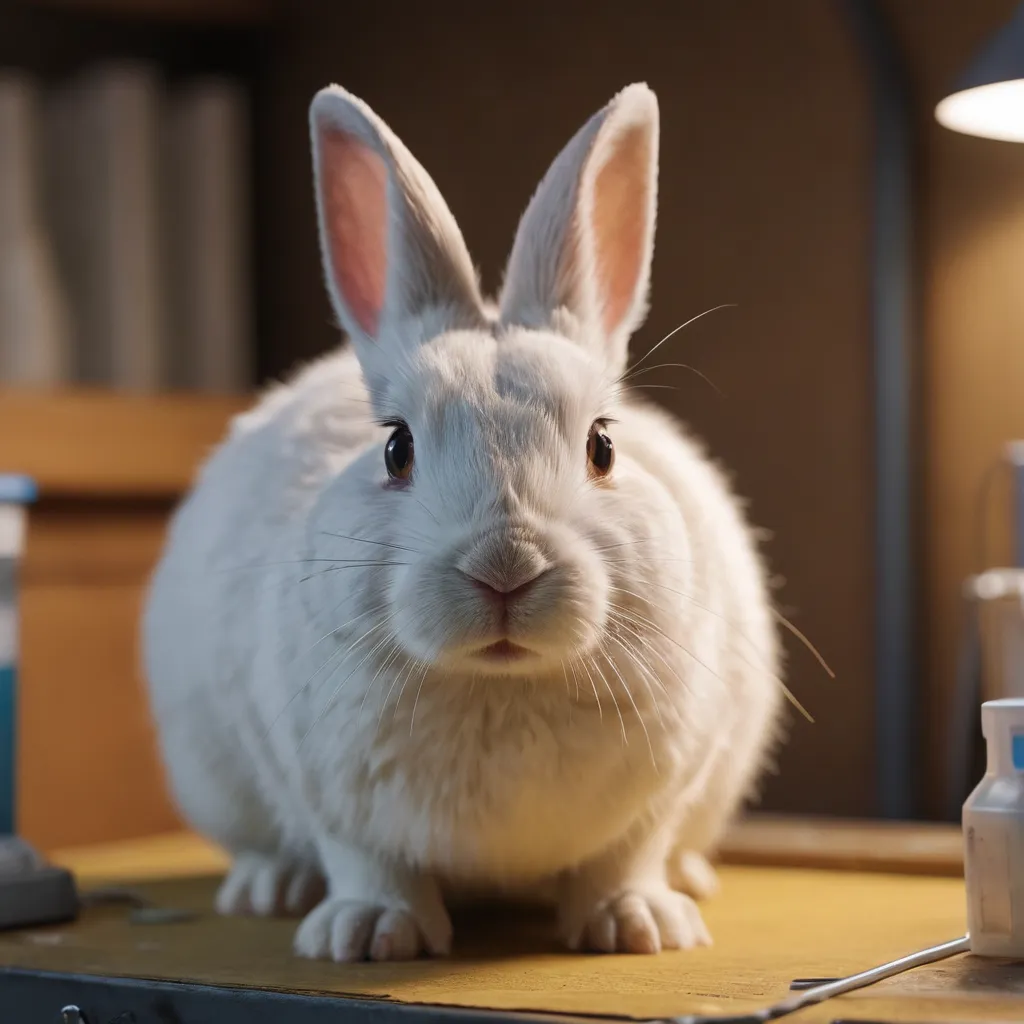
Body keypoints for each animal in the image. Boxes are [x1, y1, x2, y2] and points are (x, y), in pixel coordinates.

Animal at [142, 81, 784, 964]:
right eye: (396, 447)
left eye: (602, 445)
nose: (504, 567)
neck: (499, 685)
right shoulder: (336, 803)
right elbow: (370, 864)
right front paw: (366, 935)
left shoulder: (664, 789)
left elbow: (625, 855)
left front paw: (637, 927)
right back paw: (271, 887)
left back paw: (687, 880)